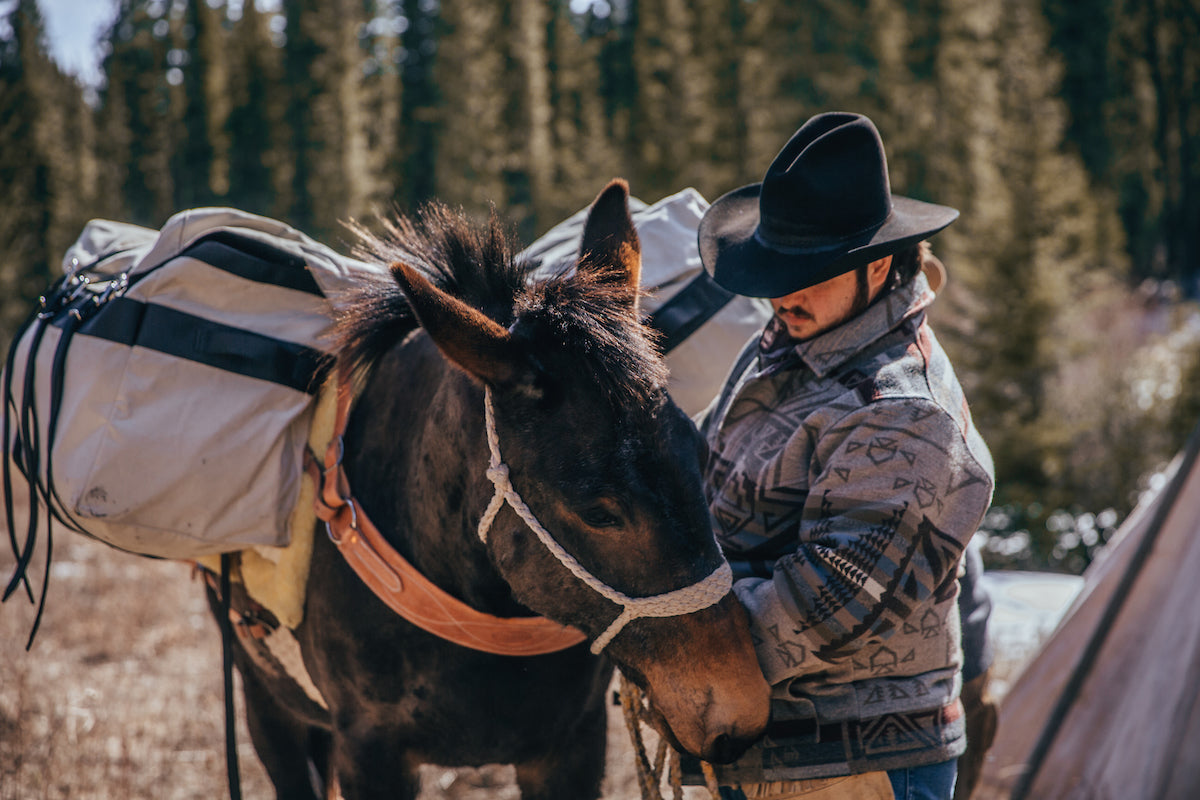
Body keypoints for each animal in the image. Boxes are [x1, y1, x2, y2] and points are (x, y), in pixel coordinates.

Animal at [212, 180, 770, 800]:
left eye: (700, 453)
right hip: (265, 699)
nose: (744, 714)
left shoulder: (571, 746)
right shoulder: (368, 751)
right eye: (598, 513)